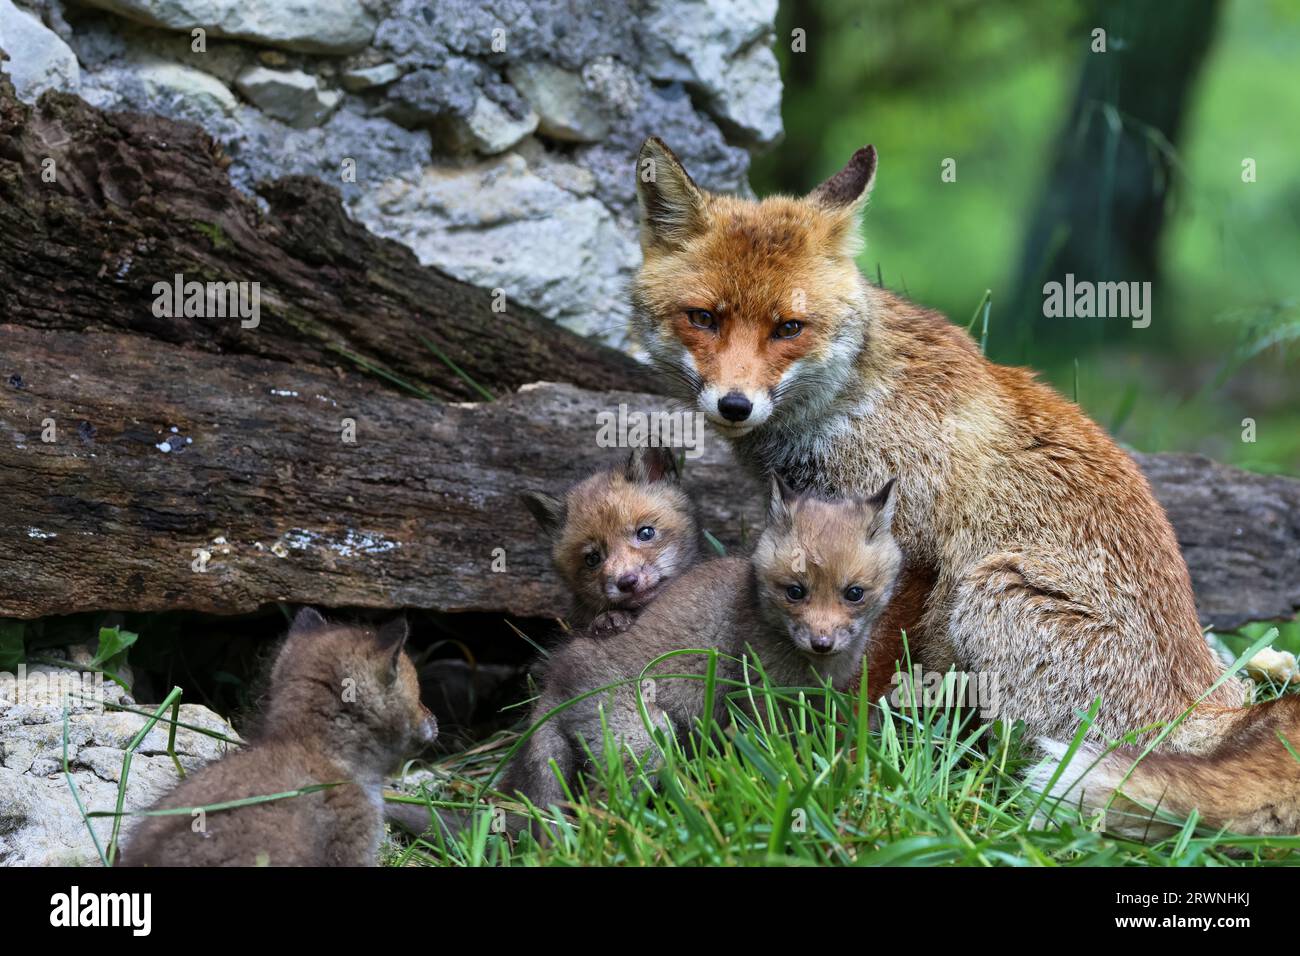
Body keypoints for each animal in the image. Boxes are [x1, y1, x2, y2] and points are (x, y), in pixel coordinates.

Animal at [498, 477, 901, 820]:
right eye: (795, 592)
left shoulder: (816, 697)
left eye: (854, 593)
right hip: (647, 738)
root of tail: (559, 678)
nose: (822, 643)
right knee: (601, 803)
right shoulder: (758, 695)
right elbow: (777, 749)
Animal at [629, 135, 1297, 837]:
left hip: (988, 592)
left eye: (789, 327)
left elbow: (859, 683)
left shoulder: (903, 555)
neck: (847, 402)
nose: (735, 404)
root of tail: (1202, 714)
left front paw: (841, 762)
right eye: (703, 318)